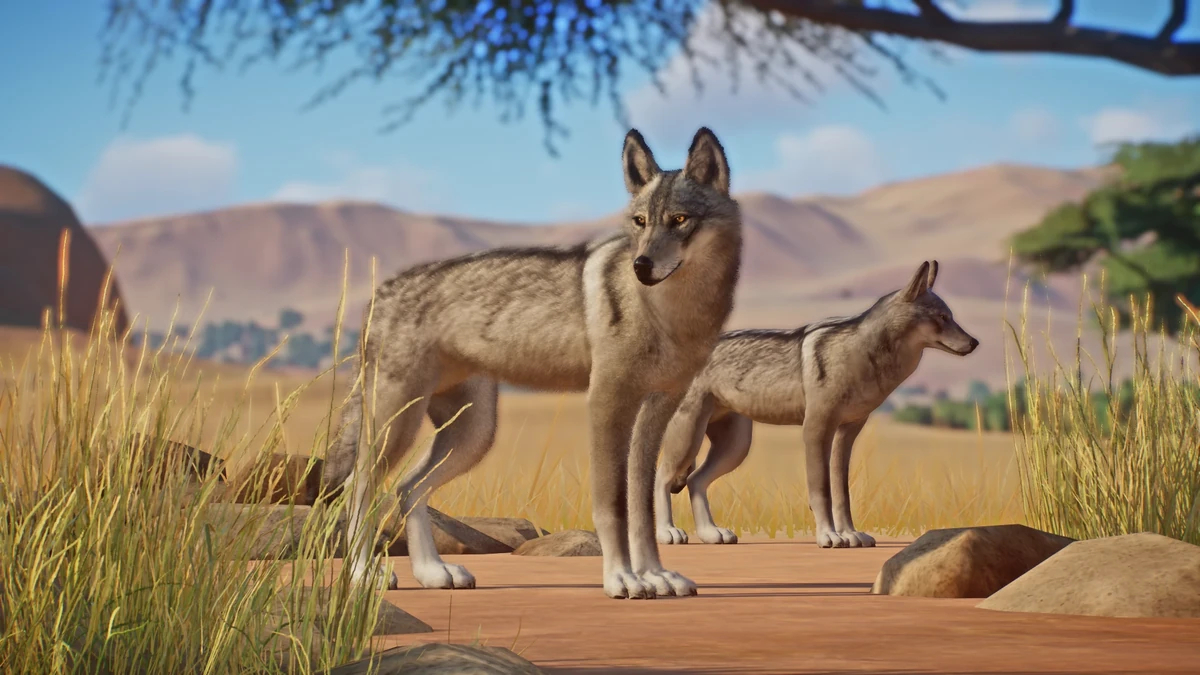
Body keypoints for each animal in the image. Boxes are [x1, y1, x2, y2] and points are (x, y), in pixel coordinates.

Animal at [322, 127, 743, 599]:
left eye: (680, 220)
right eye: (640, 222)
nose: (642, 265)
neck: (671, 313)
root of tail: (380, 292)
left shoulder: (654, 413)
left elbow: (642, 508)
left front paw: (654, 575)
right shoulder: (607, 404)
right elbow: (613, 506)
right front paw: (620, 578)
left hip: (473, 436)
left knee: (407, 488)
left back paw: (434, 573)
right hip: (398, 427)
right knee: (358, 489)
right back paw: (363, 576)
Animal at [653, 260, 978, 549]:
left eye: (950, 316)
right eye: (941, 318)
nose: (974, 343)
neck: (866, 354)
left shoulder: (846, 434)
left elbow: (842, 493)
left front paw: (851, 535)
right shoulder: (816, 430)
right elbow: (821, 490)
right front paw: (829, 536)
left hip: (735, 448)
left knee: (695, 480)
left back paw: (711, 534)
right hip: (689, 439)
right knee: (660, 479)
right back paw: (667, 533)